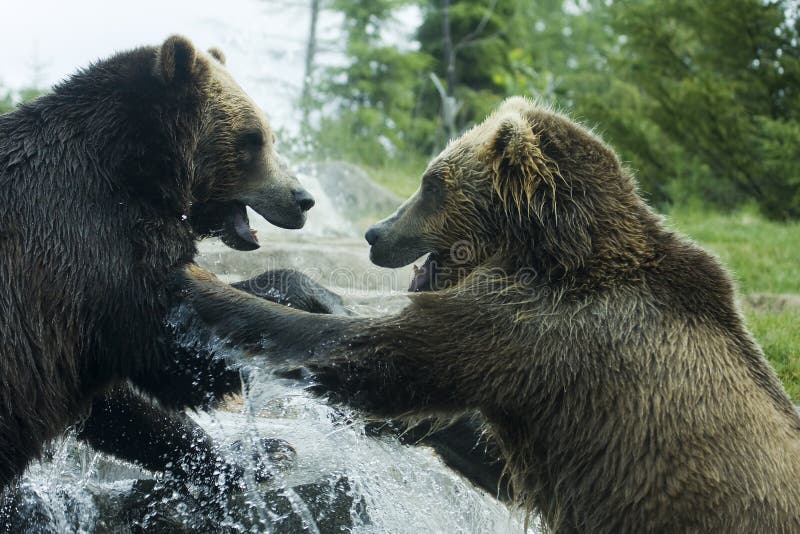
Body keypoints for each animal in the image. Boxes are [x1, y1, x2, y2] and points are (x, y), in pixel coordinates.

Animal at [0, 35, 319, 493]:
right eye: (253, 139)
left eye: (269, 136)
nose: (303, 200)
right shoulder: (84, 250)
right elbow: (176, 349)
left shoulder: (72, 325)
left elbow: (117, 406)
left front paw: (263, 452)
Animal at [176, 97, 800, 532]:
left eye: (429, 182)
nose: (375, 232)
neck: (544, 254)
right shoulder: (529, 387)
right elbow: (485, 449)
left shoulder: (544, 332)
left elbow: (379, 361)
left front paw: (197, 283)